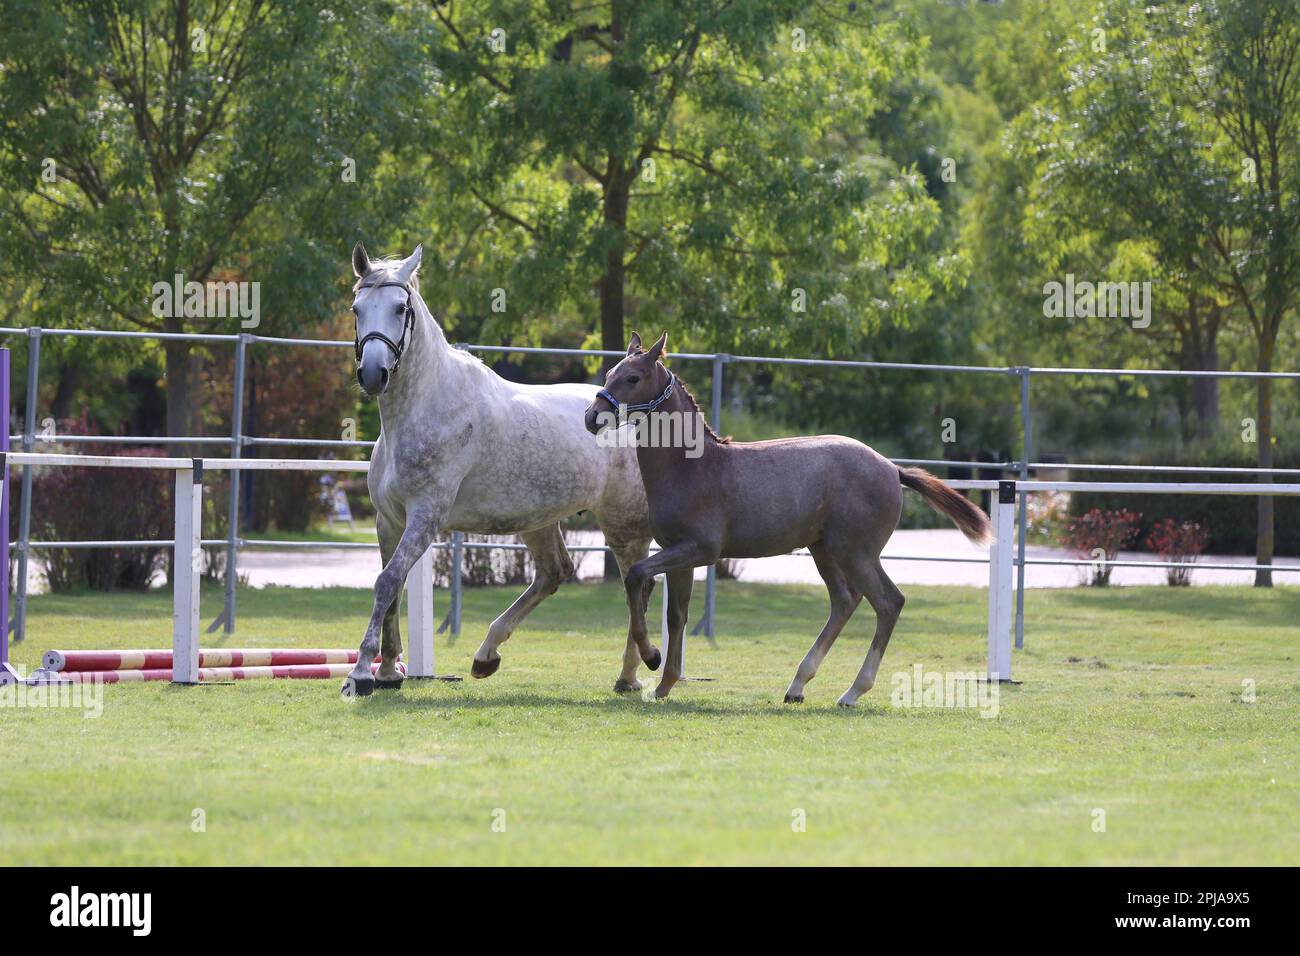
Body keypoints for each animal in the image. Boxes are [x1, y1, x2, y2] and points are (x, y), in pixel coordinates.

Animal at [344, 242, 655, 696]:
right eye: (356, 308)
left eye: (401, 308)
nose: (373, 373)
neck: (425, 407)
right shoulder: (388, 520)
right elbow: (393, 587)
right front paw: (387, 671)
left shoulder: (425, 517)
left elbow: (386, 582)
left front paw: (361, 673)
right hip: (539, 520)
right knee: (554, 573)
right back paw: (485, 655)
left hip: (623, 525)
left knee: (637, 584)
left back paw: (630, 675)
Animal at [584, 332, 993, 706]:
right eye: (609, 373)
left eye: (633, 377)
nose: (591, 418)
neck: (692, 467)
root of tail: (892, 469)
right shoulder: (677, 553)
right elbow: (676, 615)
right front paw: (664, 683)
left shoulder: (700, 549)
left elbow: (636, 577)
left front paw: (651, 658)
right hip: (824, 550)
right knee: (845, 601)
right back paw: (798, 685)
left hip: (856, 552)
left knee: (888, 602)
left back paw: (852, 692)